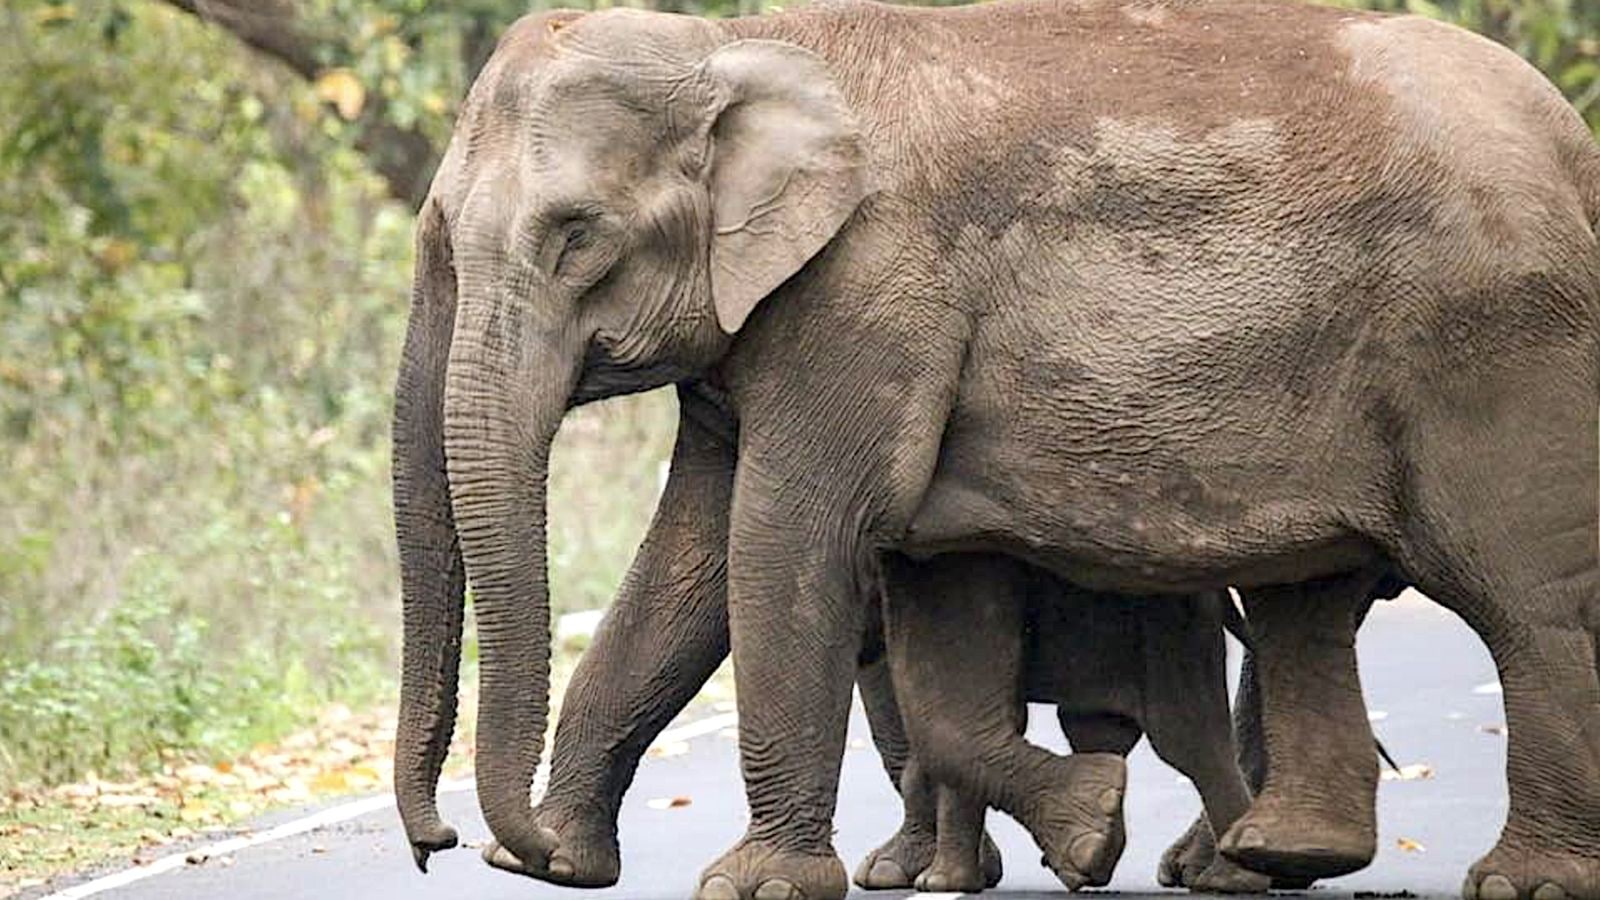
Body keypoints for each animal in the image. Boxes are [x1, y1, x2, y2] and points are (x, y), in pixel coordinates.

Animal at [389, 3, 1600, 900]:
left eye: (576, 238)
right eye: (439, 237)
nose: (437, 849)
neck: (734, 40)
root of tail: (1571, 141)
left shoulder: (866, 292)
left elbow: (784, 540)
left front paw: (755, 884)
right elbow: (688, 563)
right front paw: (562, 865)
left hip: (1491, 344)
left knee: (1520, 603)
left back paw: (1511, 879)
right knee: (1308, 602)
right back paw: (1279, 854)